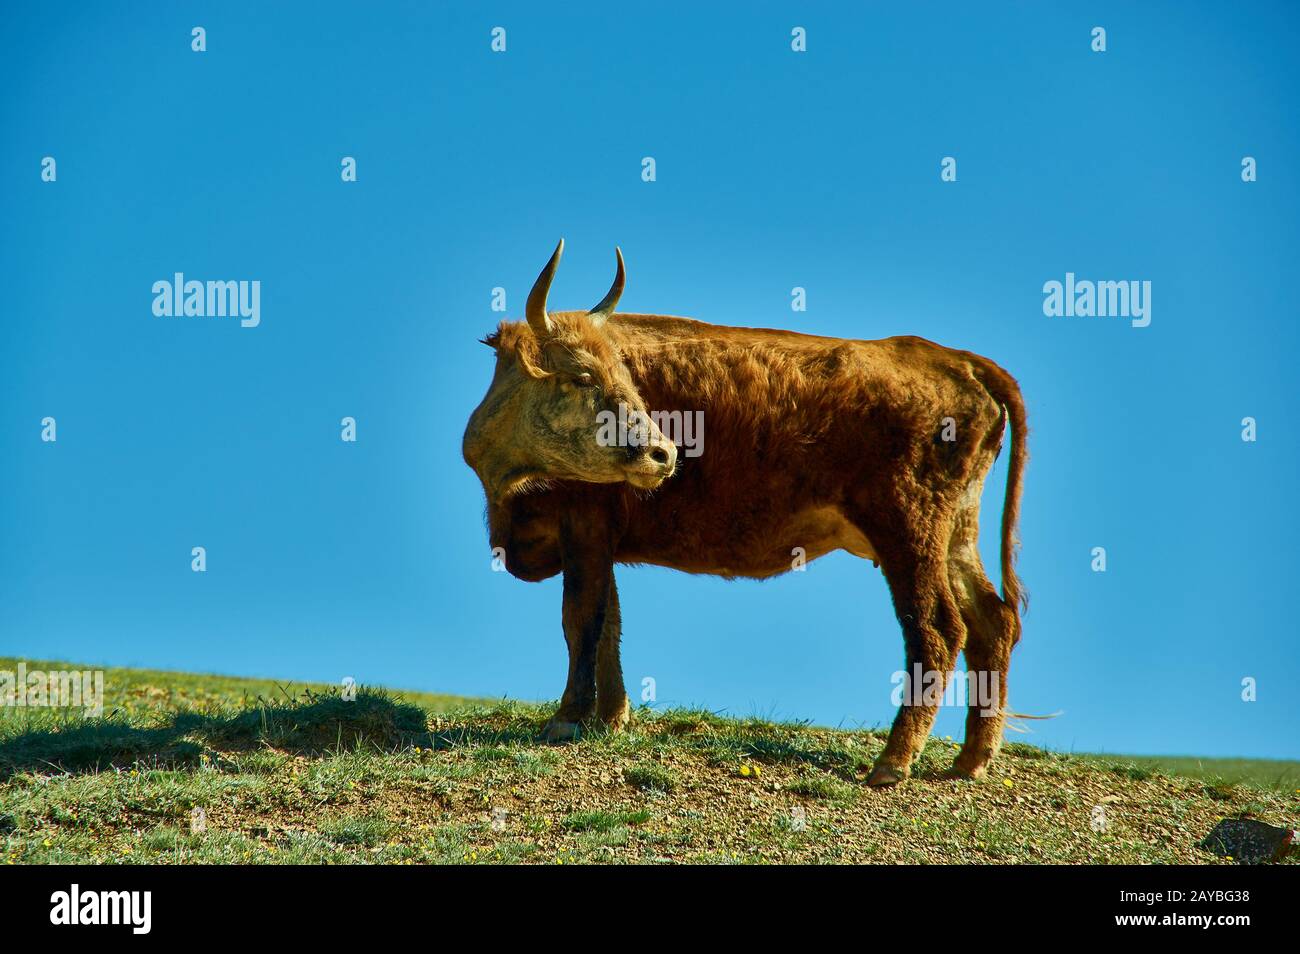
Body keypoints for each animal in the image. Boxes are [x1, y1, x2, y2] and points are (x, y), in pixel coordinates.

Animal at [463, 241, 1028, 785]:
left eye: (625, 374)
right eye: (582, 376)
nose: (664, 453)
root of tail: (955, 359)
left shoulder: (585, 525)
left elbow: (582, 618)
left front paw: (566, 719)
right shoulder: (600, 542)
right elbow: (610, 624)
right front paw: (611, 718)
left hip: (908, 530)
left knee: (936, 631)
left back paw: (892, 761)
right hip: (955, 535)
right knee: (993, 622)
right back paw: (970, 761)